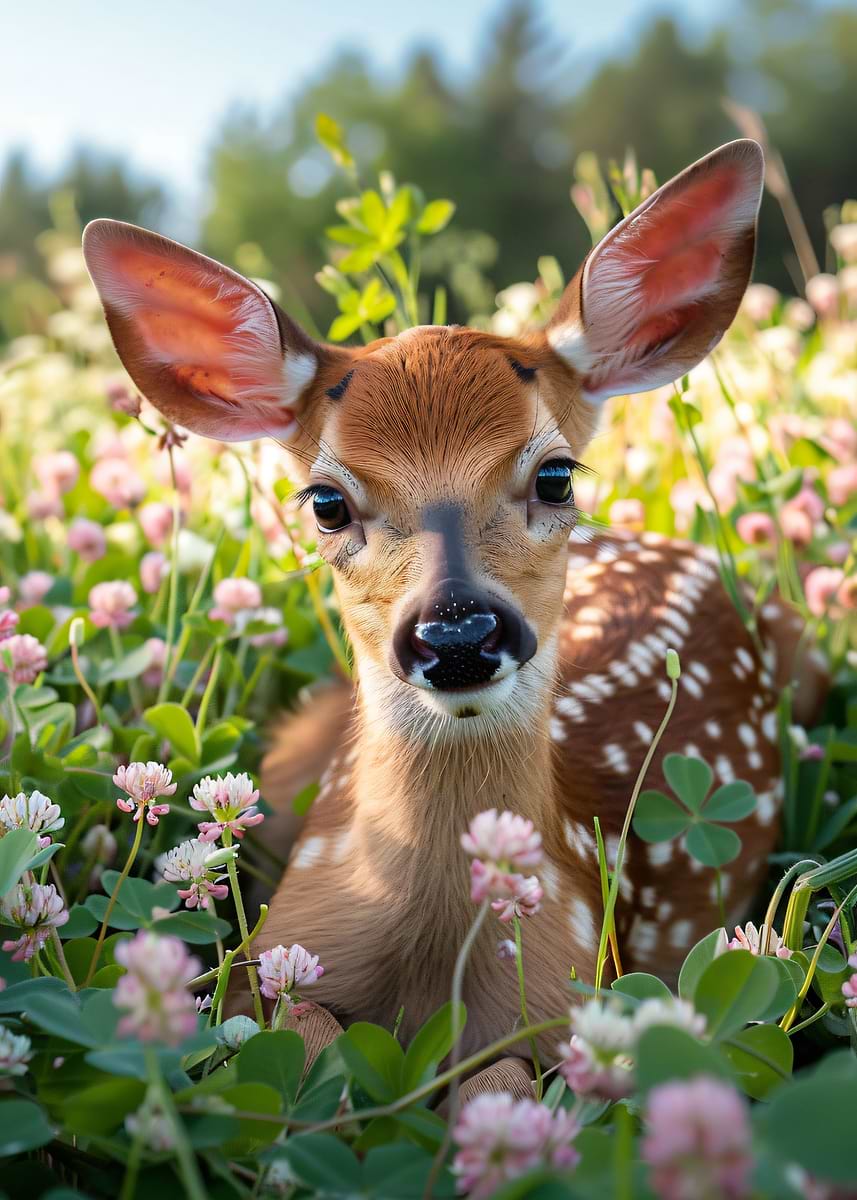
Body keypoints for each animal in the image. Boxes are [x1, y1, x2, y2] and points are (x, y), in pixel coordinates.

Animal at [83, 139, 823, 1099]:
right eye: (326, 502)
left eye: (555, 476)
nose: (458, 636)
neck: (430, 947)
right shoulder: (263, 962)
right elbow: (301, 1037)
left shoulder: (577, 994)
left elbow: (496, 1086)